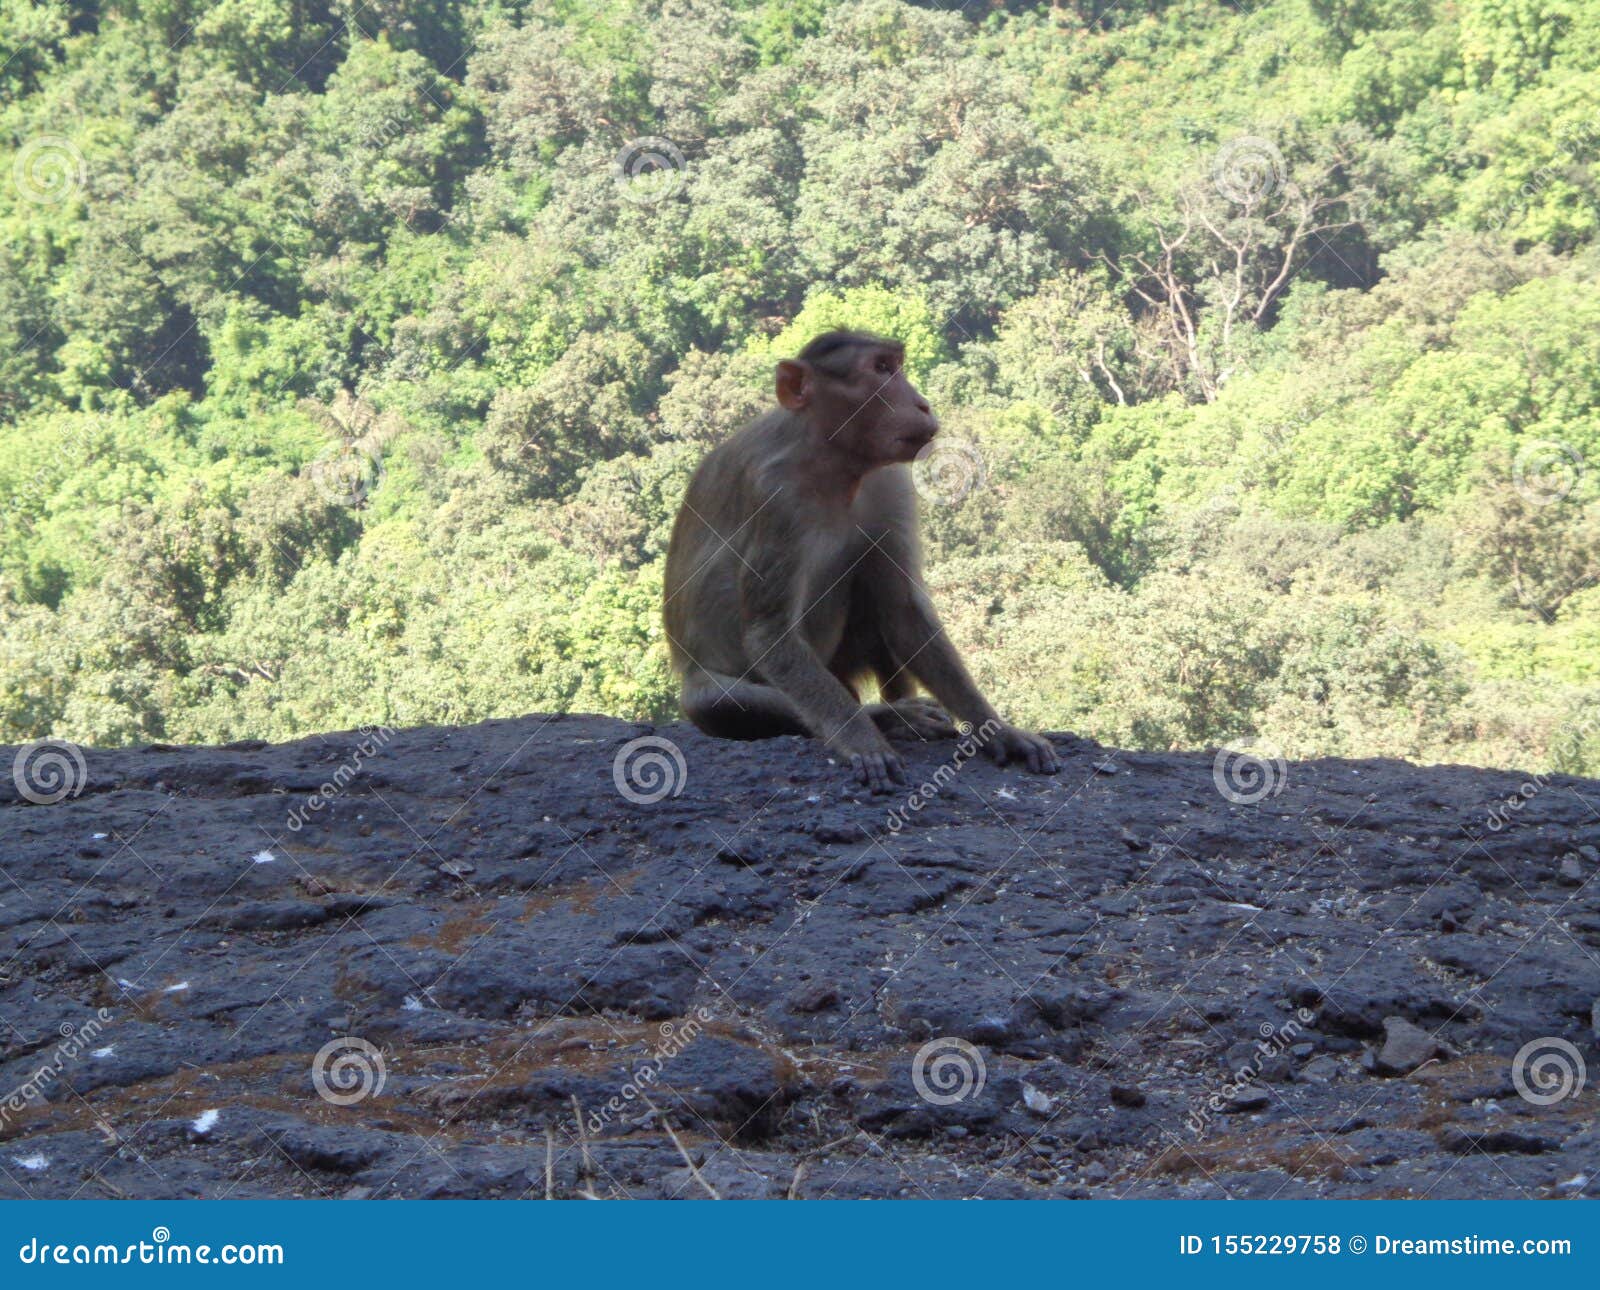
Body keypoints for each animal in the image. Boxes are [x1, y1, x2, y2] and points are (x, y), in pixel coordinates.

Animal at [662, 330, 1061, 791]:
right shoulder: (776, 497)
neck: (834, 466)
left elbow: (904, 609)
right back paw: (884, 716)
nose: (922, 404)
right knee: (716, 701)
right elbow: (770, 635)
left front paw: (995, 728)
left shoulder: (890, 481)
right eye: (881, 370)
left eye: (896, 366)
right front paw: (860, 738)